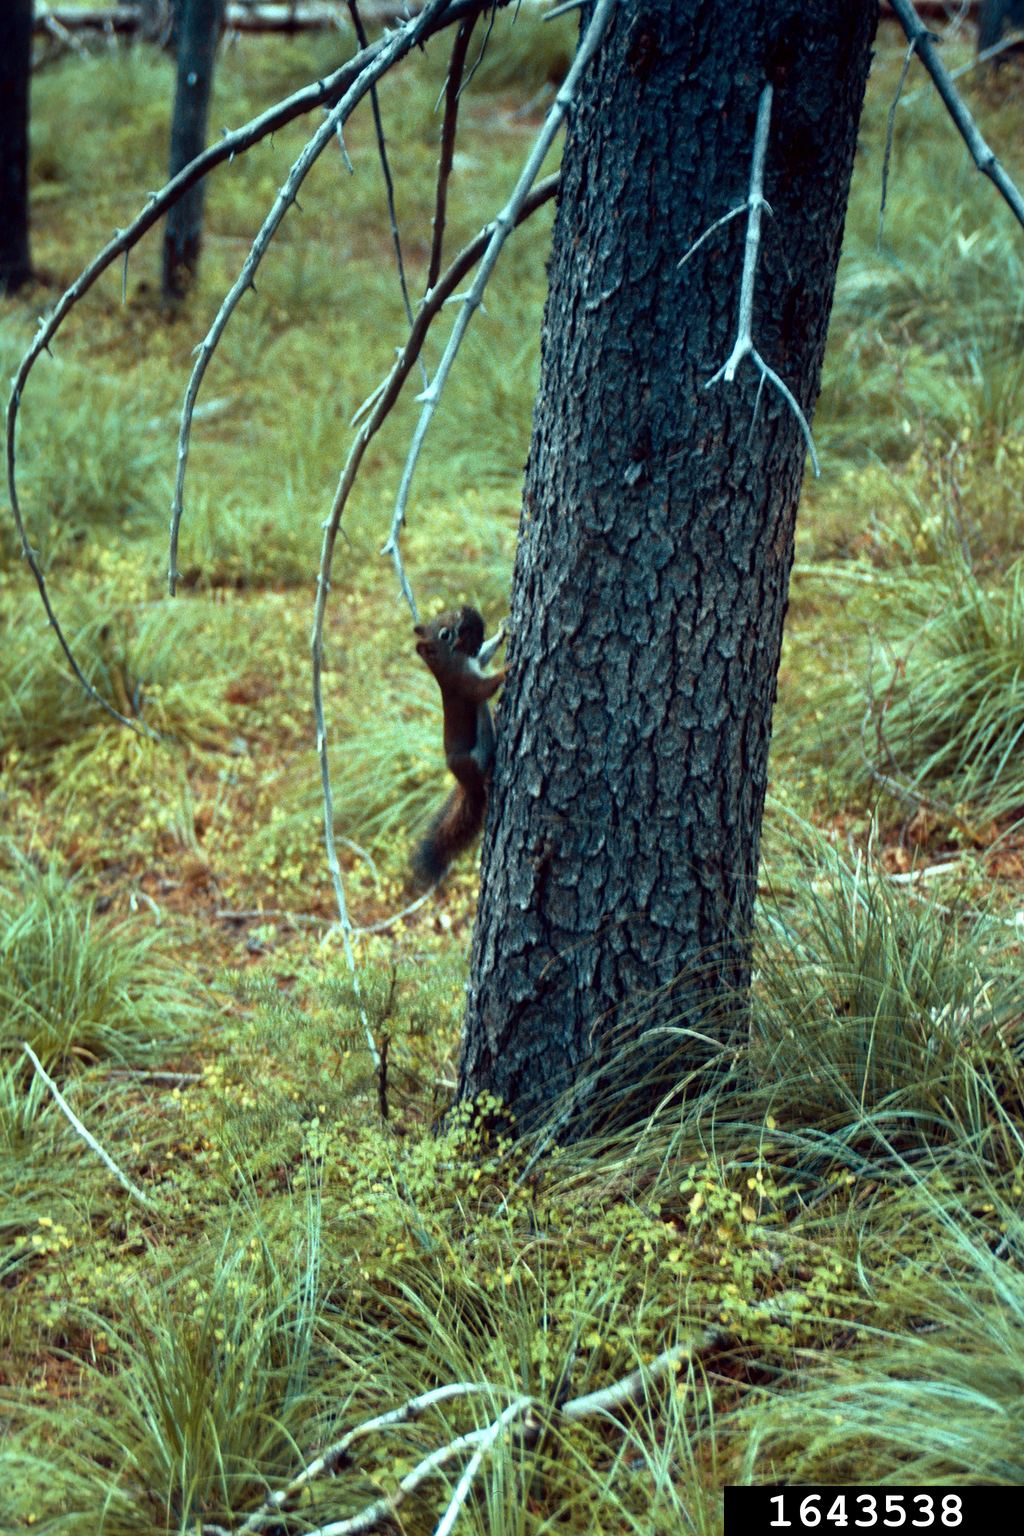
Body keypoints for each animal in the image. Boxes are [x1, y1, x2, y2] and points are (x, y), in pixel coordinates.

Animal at [412, 606, 507, 886]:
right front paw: (506, 669)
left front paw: (502, 631)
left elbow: (485, 654)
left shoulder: (476, 662)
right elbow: (484, 688)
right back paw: (487, 778)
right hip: (470, 761)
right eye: (445, 634)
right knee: (481, 781)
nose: (461, 613)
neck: (452, 663)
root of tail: (465, 784)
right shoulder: (465, 685)